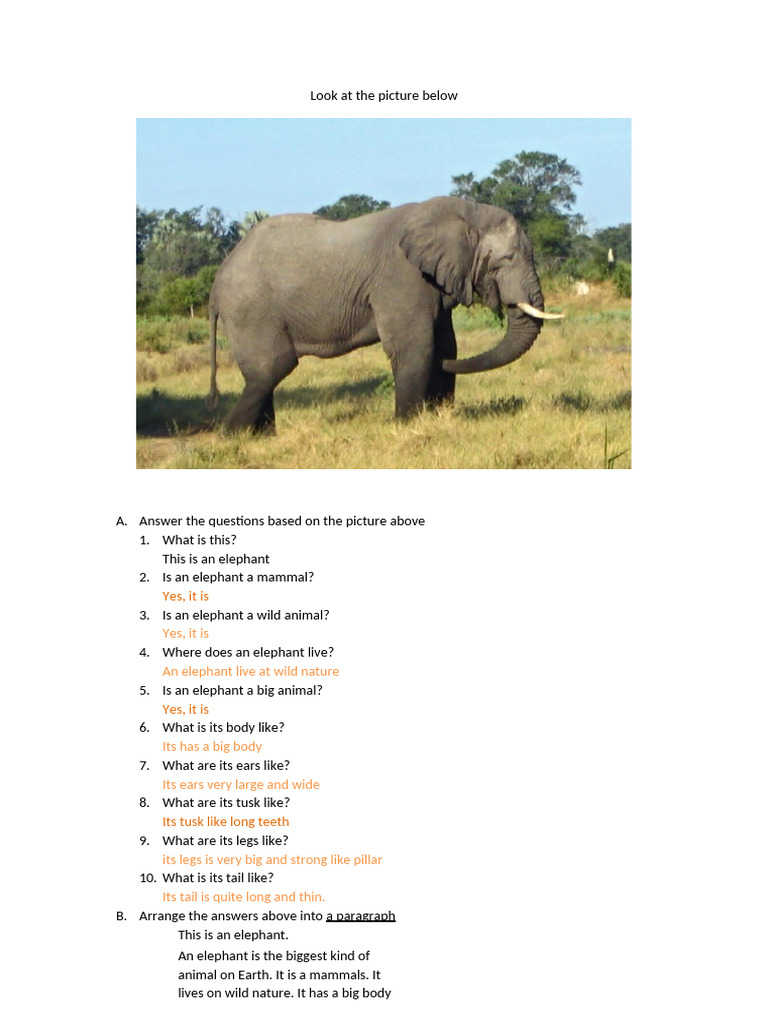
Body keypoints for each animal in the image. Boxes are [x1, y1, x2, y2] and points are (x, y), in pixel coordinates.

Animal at [207, 196, 562, 432]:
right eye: (507, 259)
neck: (463, 212)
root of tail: (215, 287)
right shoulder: (400, 278)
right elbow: (417, 347)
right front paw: (407, 425)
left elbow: (445, 344)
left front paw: (437, 415)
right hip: (251, 311)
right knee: (271, 369)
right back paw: (231, 436)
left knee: (264, 374)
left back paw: (261, 436)